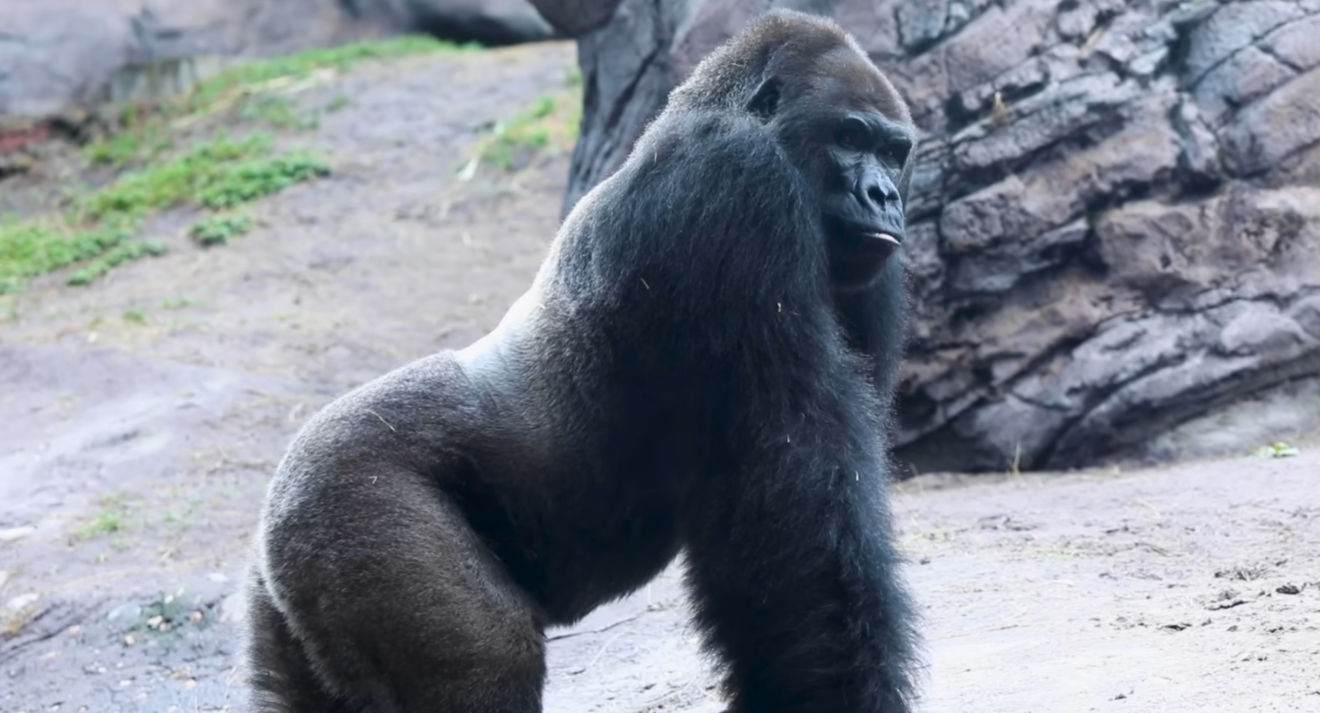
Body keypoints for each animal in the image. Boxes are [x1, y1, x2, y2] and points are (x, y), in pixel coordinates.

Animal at [245, 9, 921, 712]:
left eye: (894, 153)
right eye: (851, 137)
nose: (884, 196)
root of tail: (269, 516)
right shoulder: (735, 180)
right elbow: (797, 483)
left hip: (295, 581)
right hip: (348, 498)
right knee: (487, 657)